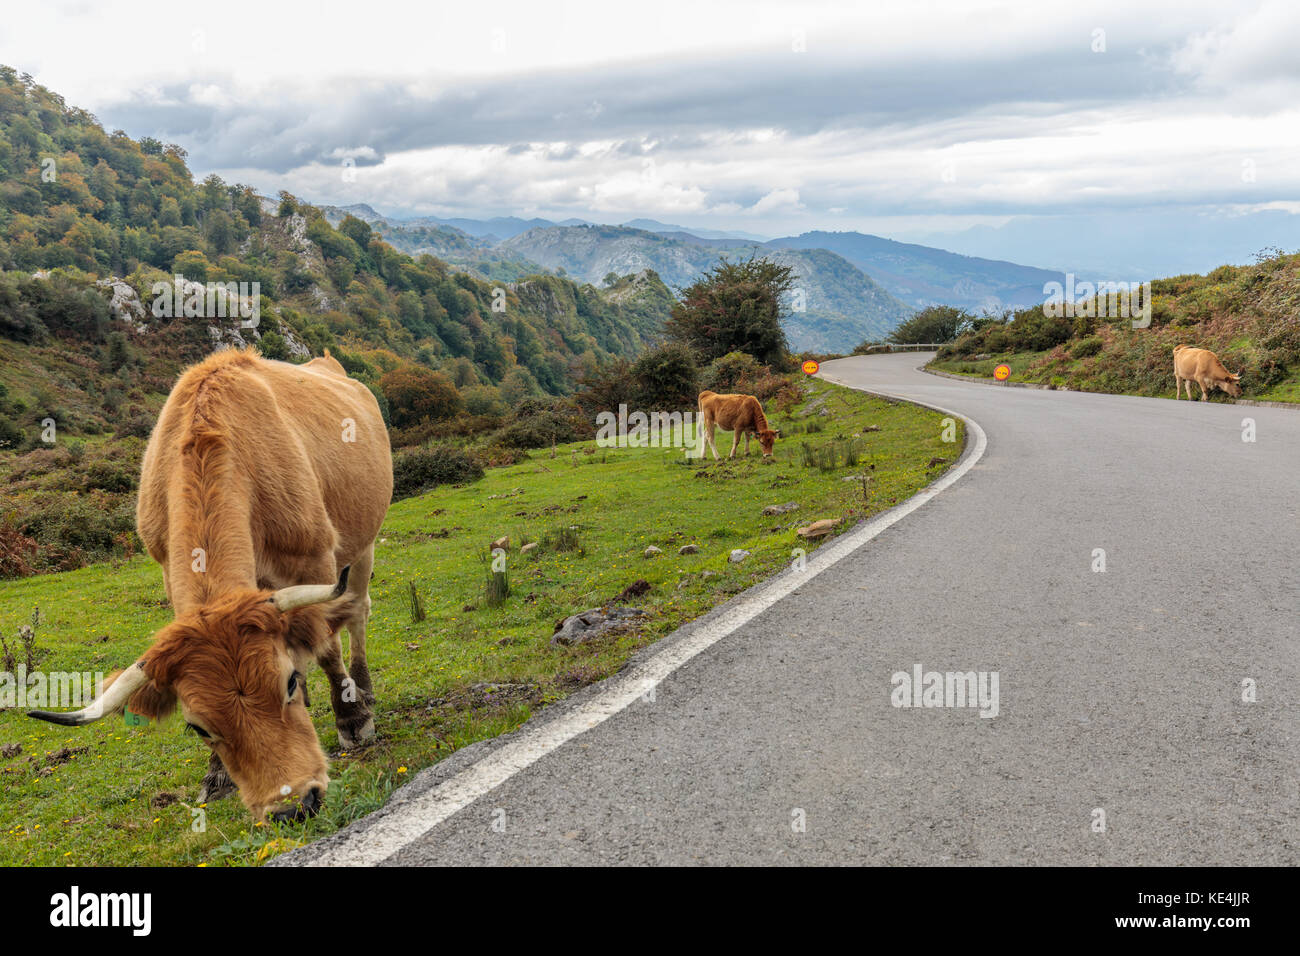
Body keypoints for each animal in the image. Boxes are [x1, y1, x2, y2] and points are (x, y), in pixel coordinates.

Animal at [28, 349, 392, 822]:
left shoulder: (313, 560)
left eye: (287, 684)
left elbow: (328, 647)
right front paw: (217, 775)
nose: (292, 806)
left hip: (361, 547)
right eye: (196, 726)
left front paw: (351, 719)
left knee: (356, 615)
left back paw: (361, 691)